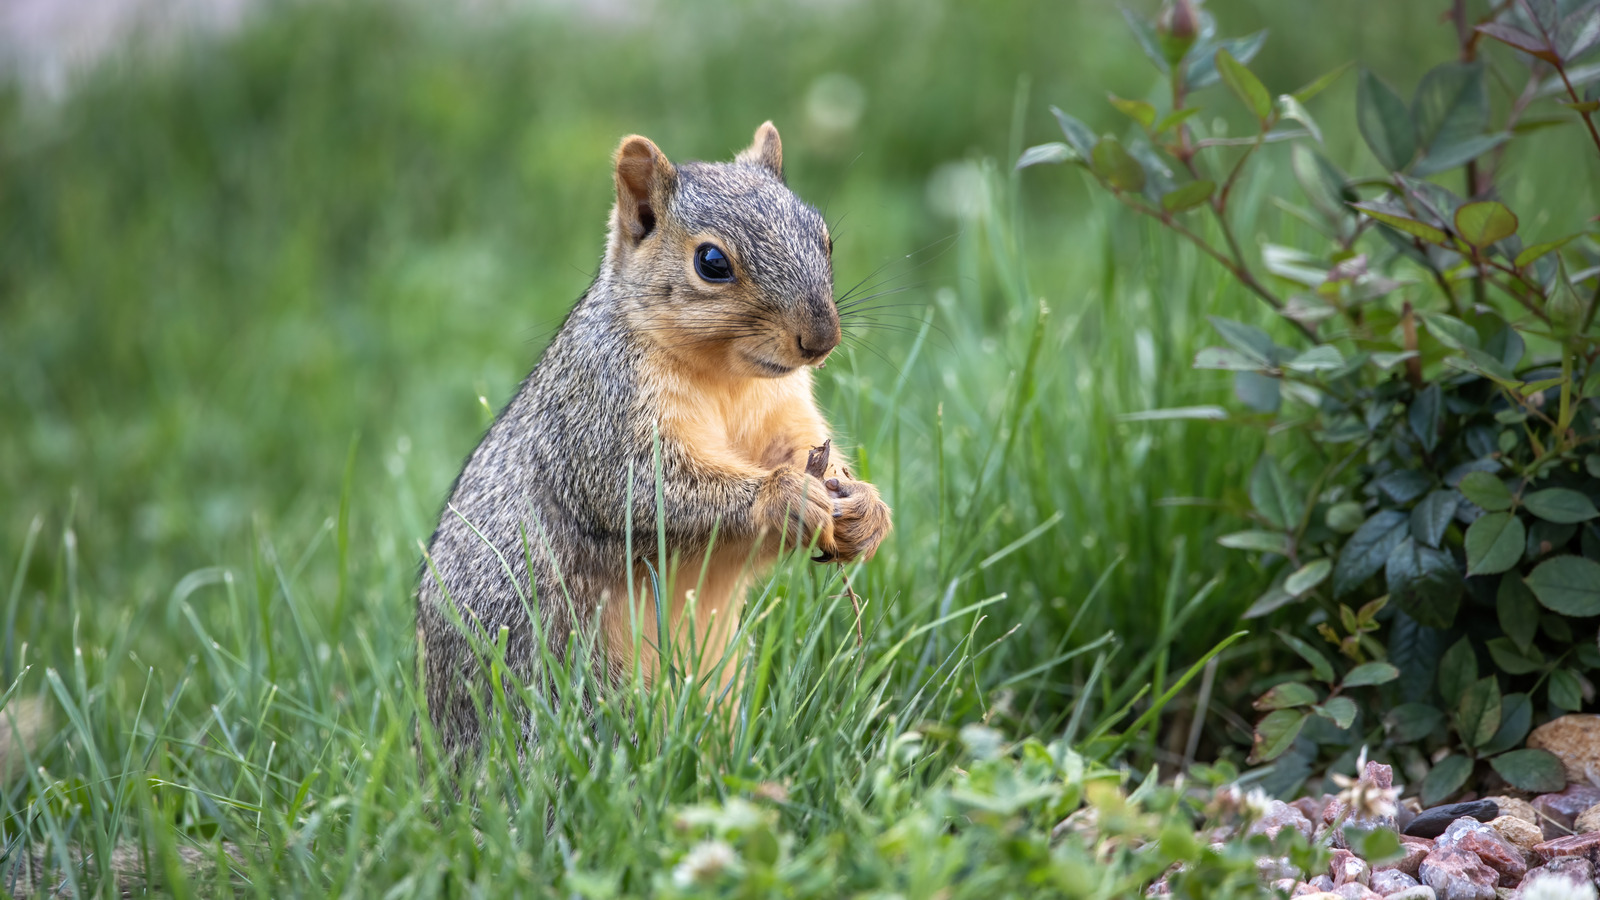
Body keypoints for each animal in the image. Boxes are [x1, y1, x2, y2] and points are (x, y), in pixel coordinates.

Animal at [417, 122, 893, 755]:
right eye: (711, 262)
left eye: (825, 238)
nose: (821, 339)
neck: (727, 379)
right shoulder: (600, 414)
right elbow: (646, 492)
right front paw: (784, 496)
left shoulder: (784, 413)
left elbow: (801, 452)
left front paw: (865, 507)